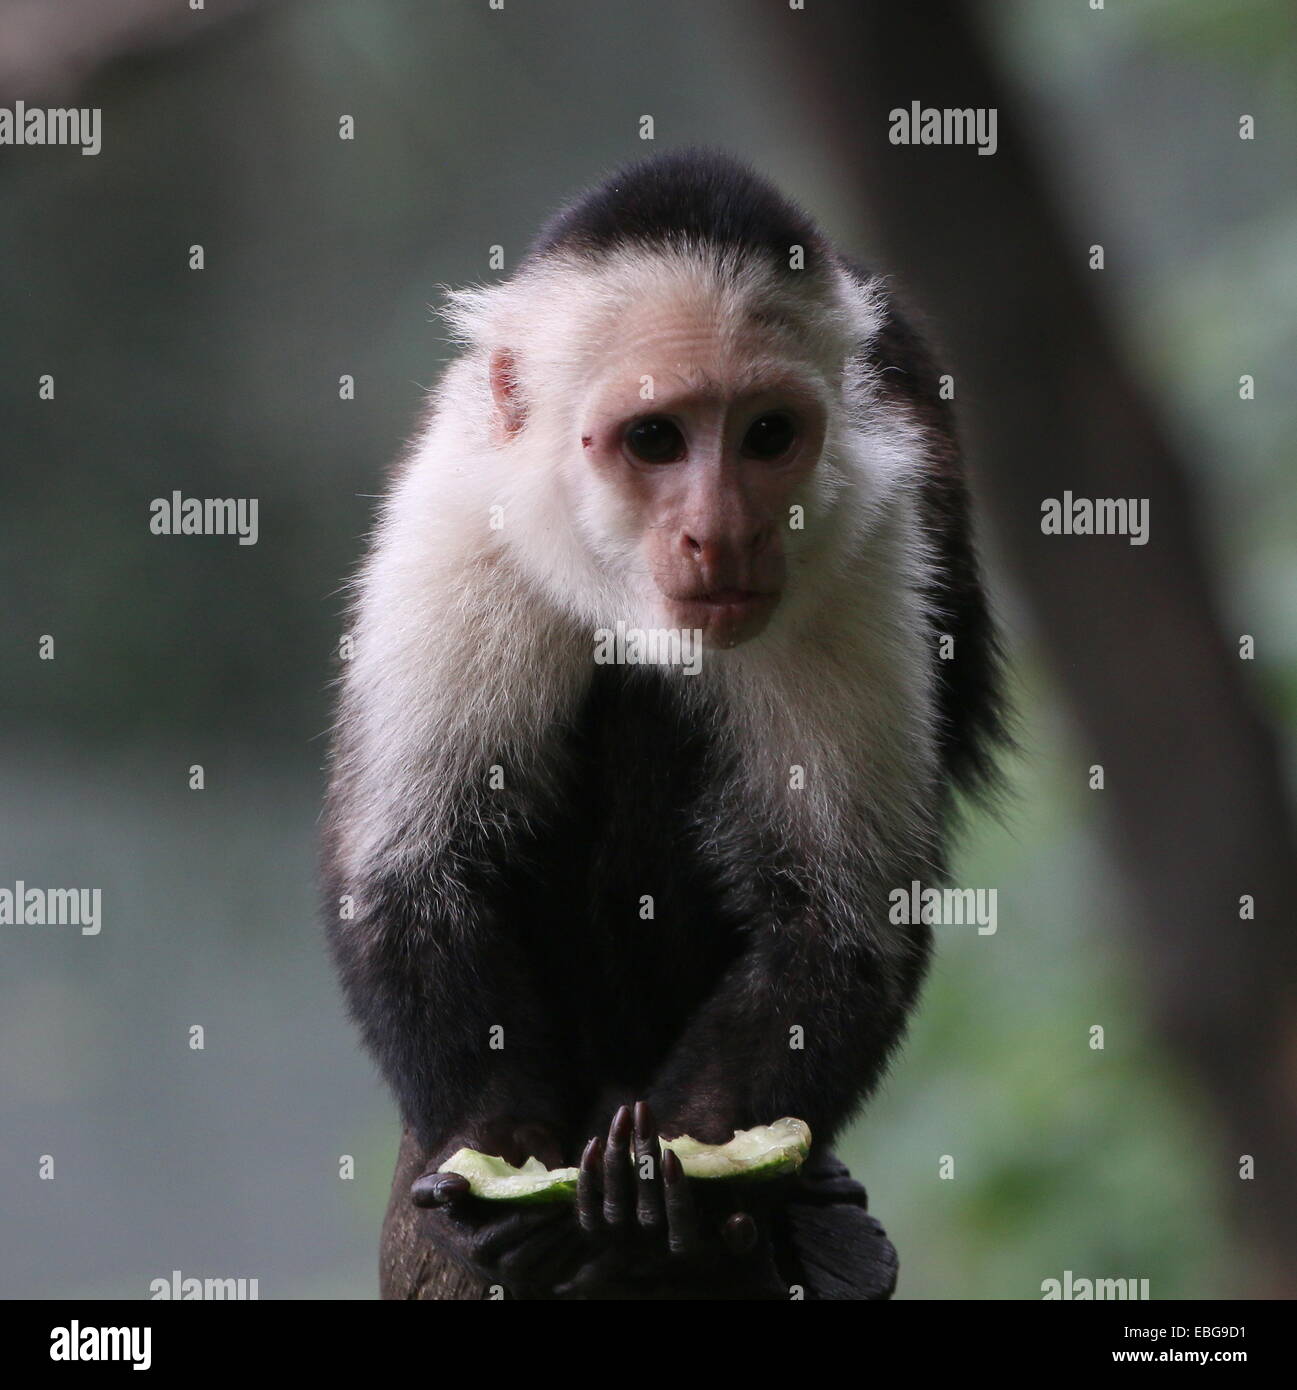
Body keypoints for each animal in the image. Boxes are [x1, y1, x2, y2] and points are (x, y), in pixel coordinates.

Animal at [322, 149, 1005, 1300]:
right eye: (654, 439)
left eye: (767, 435)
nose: (720, 532)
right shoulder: (459, 511)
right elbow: (415, 868)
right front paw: (500, 1151)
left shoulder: (864, 544)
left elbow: (840, 921)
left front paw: (669, 1189)